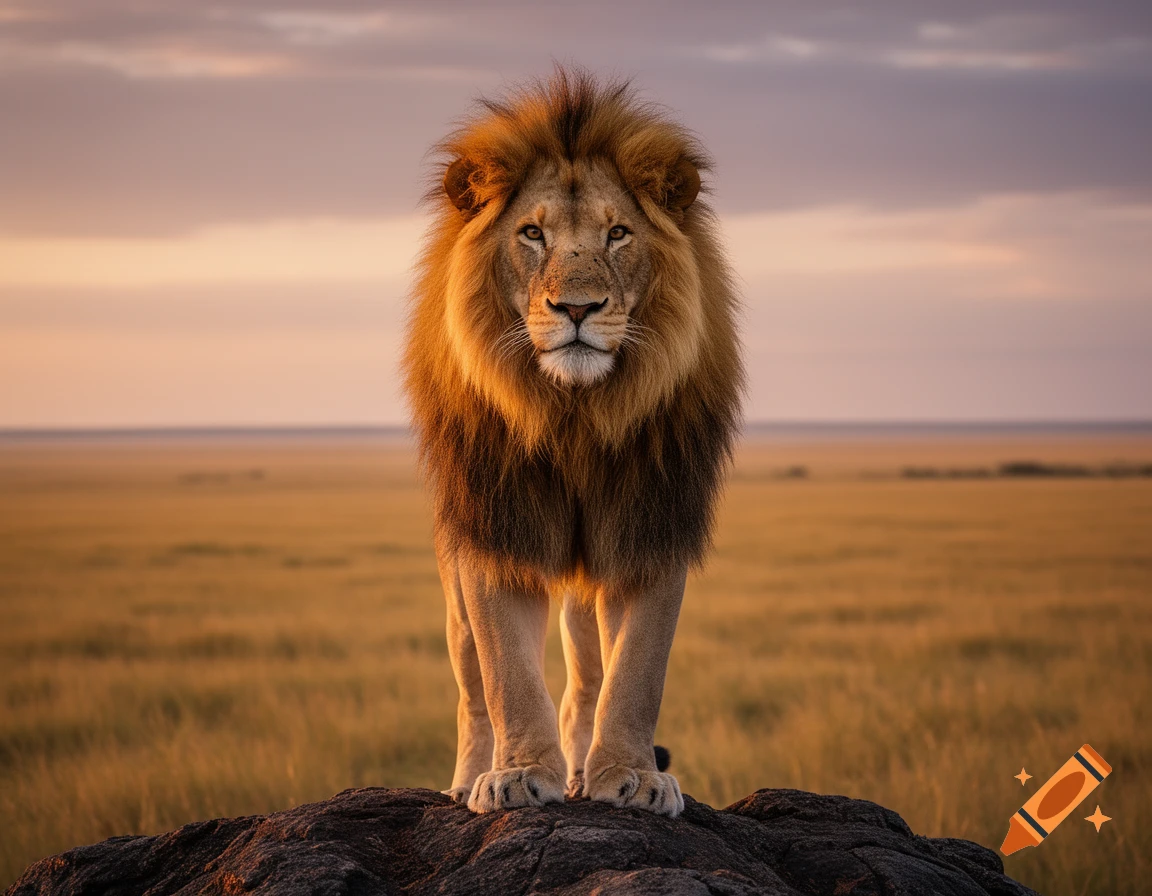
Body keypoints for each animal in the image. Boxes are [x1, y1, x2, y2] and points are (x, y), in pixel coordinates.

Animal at [402, 67, 742, 818]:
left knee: (587, 678)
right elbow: (507, 675)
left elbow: (637, 672)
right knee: (472, 690)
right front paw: (518, 774)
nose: (578, 308)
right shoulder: (499, 527)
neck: (576, 414)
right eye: (531, 233)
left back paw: (587, 766)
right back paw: (470, 776)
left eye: (617, 233)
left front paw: (632, 776)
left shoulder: (649, 523)